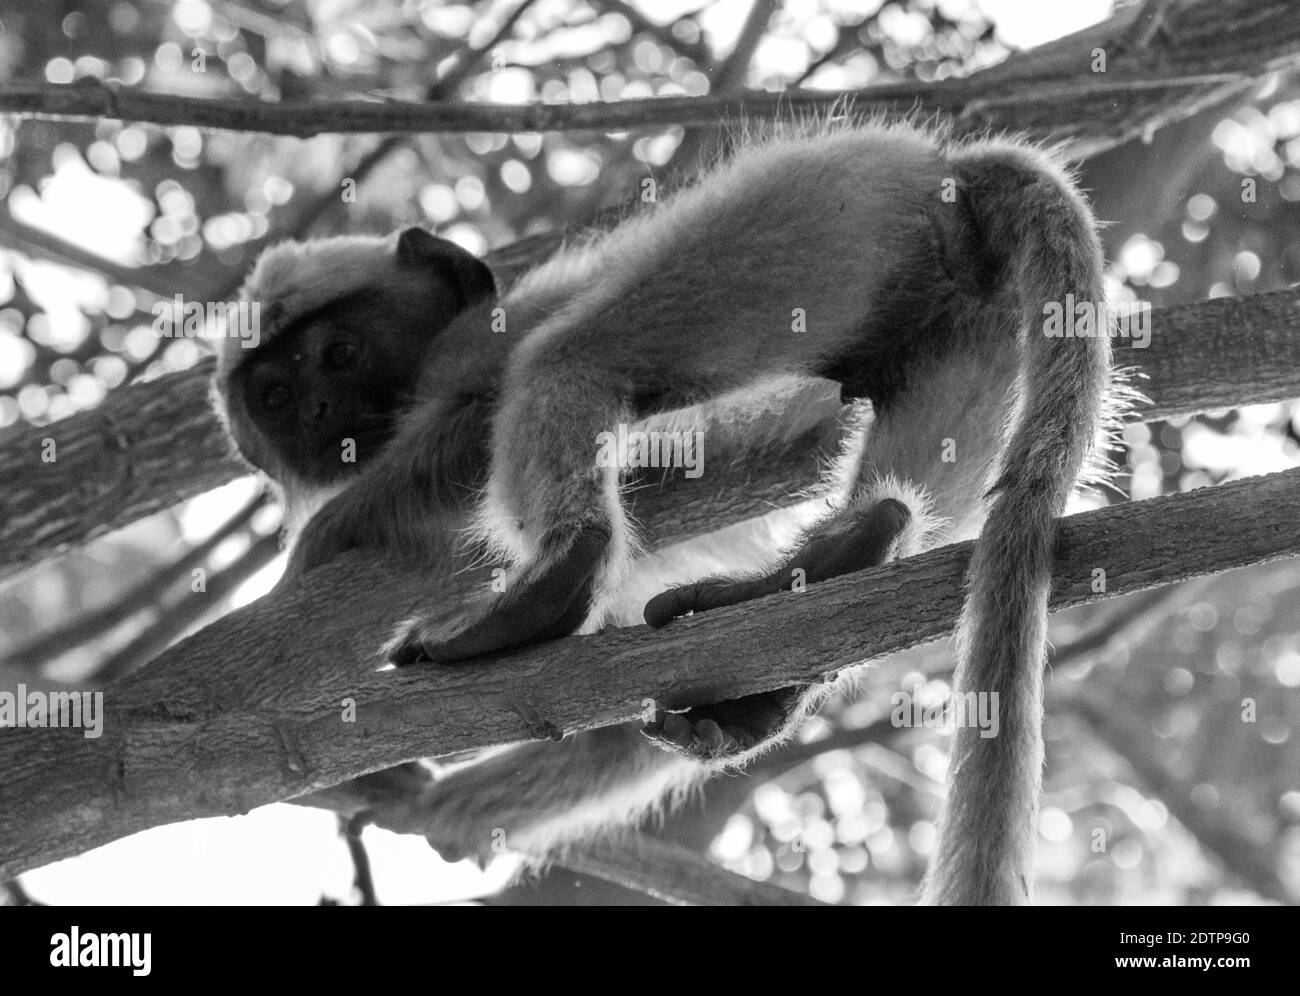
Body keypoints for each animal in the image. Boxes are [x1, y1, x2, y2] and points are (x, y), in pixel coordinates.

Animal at [212, 118, 1116, 905]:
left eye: (338, 353)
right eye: (278, 396)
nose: (321, 410)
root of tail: (947, 168)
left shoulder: (466, 352)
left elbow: (462, 433)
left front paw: (321, 543)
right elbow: (612, 714)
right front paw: (426, 805)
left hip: (813, 208)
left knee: (573, 357)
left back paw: (553, 581)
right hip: (967, 320)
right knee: (897, 488)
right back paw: (843, 556)